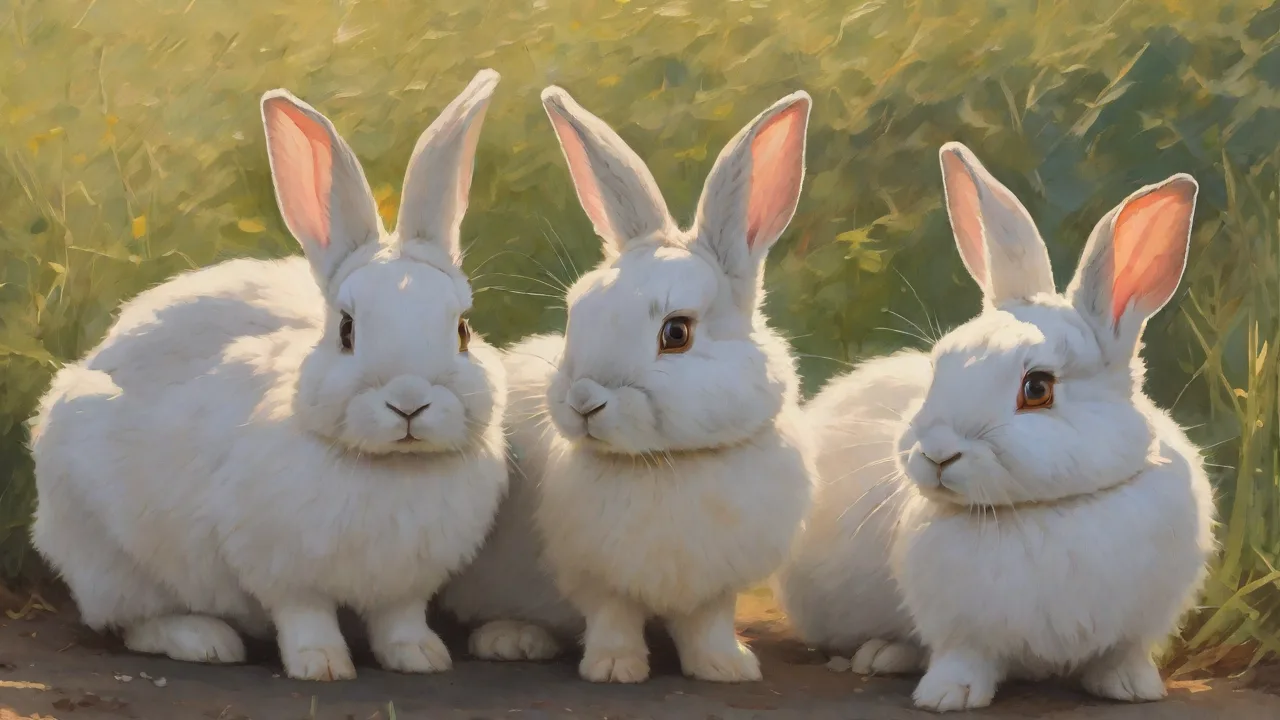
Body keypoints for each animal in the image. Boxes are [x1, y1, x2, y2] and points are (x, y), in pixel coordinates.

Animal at [28, 70, 509, 682]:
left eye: (463, 330)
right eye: (347, 330)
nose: (409, 403)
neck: (390, 469)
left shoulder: (404, 586)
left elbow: (399, 618)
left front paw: (420, 657)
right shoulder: (281, 570)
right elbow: (305, 616)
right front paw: (321, 664)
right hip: (112, 555)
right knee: (133, 621)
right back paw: (204, 640)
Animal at [439, 85, 818, 684]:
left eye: (677, 332)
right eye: (578, 311)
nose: (583, 401)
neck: (665, 461)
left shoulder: (716, 585)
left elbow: (708, 622)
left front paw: (725, 667)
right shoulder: (591, 574)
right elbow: (611, 616)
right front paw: (615, 668)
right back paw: (513, 638)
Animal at [775, 142, 1216, 712]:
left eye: (1038, 388)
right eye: (938, 366)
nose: (937, 453)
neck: (1042, 509)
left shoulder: (1138, 625)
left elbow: (1123, 653)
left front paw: (1132, 688)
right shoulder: (960, 630)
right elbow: (964, 658)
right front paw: (946, 696)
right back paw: (883, 655)